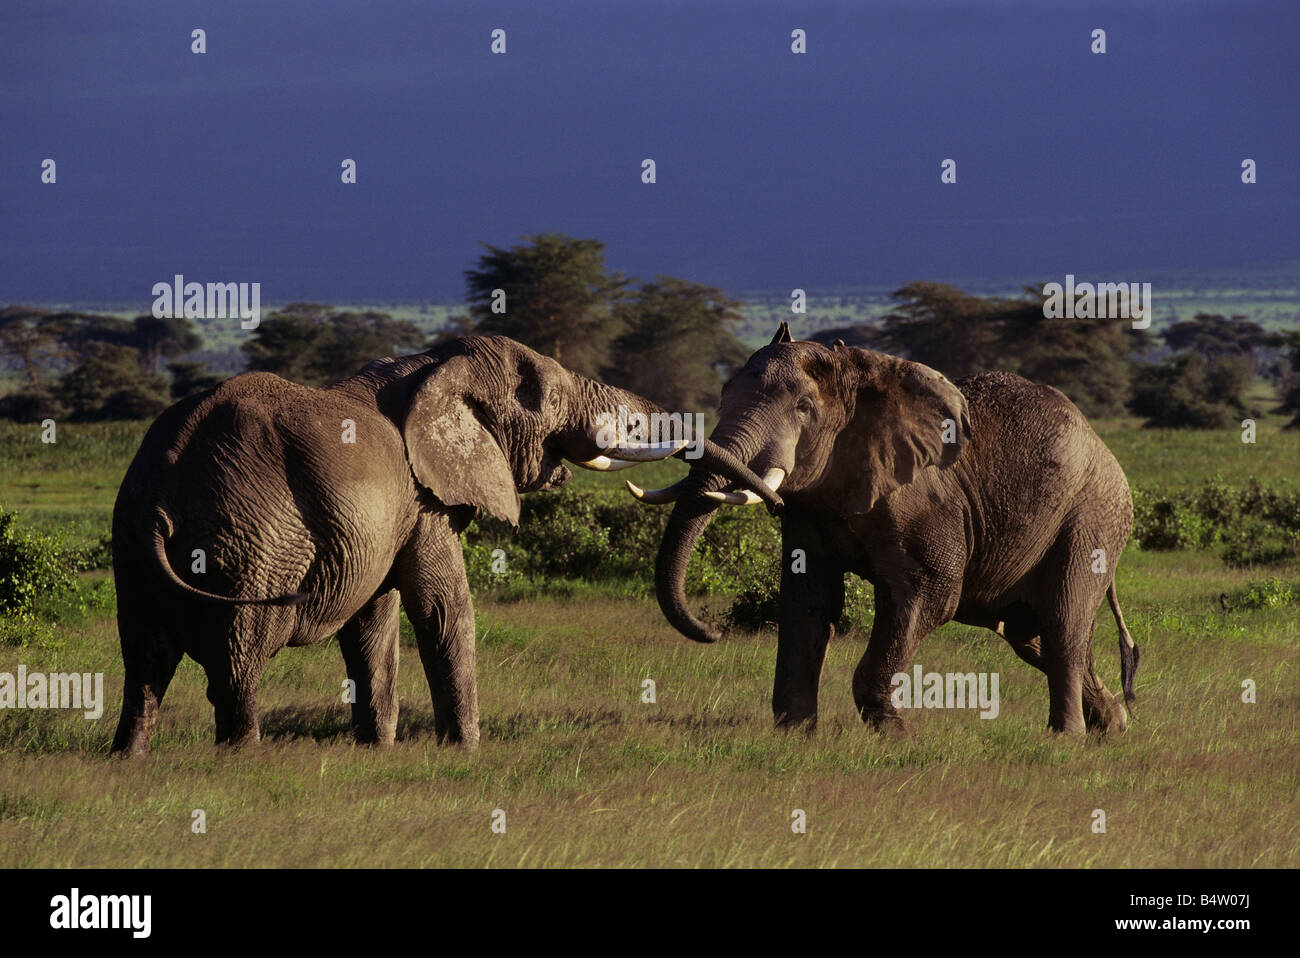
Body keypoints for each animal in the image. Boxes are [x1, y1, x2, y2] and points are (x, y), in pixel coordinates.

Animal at [109, 334, 777, 756]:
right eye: (547, 398)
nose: (715, 632)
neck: (431, 365)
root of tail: (164, 485)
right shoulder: (424, 496)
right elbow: (440, 607)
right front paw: (465, 751)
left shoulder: (381, 517)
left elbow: (374, 625)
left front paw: (376, 751)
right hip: (252, 544)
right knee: (235, 659)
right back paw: (242, 756)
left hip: (135, 548)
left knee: (143, 660)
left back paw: (129, 757)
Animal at [630, 322, 1140, 735]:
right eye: (721, 394)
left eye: (803, 408)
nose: (713, 633)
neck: (855, 374)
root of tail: (1102, 445)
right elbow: (808, 599)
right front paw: (795, 734)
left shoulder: (925, 501)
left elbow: (929, 592)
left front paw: (895, 735)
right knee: (1030, 636)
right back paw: (1114, 725)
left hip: (1093, 515)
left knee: (1063, 622)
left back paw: (1067, 737)